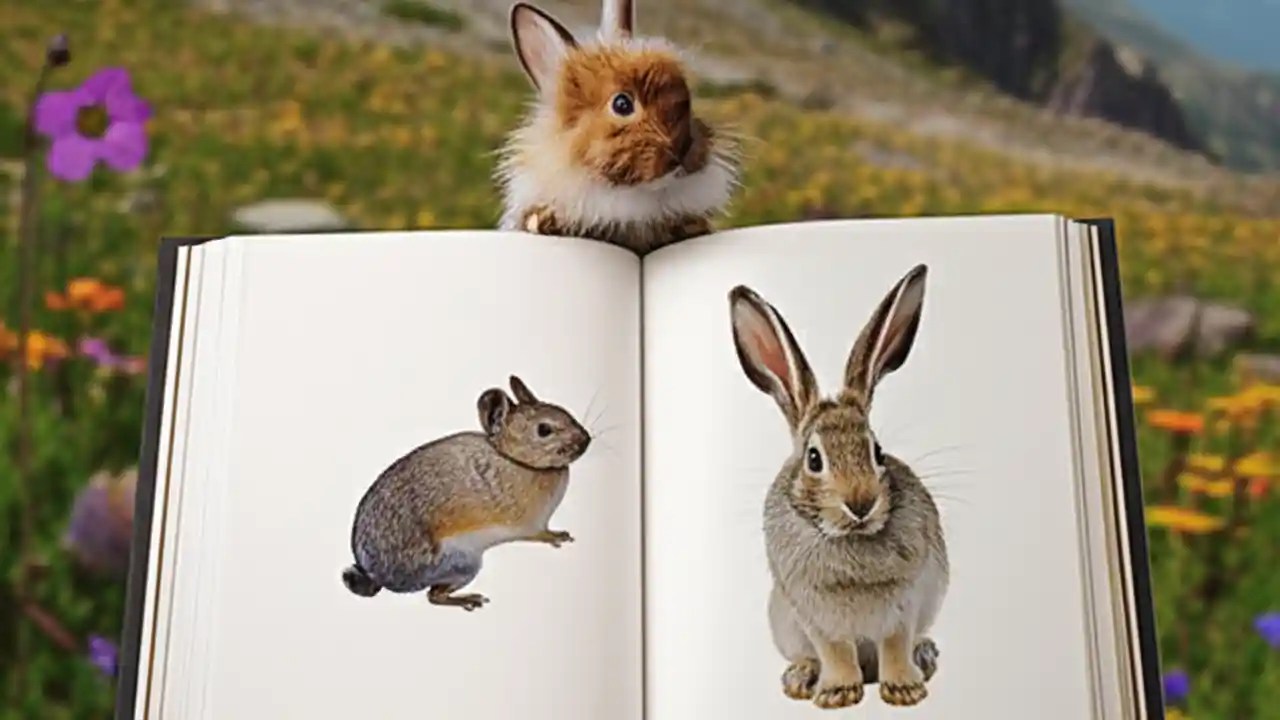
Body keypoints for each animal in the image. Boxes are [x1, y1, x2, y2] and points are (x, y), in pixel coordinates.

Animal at [341, 375, 592, 611]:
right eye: (544, 430)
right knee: (434, 596)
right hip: (463, 563)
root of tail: (376, 575)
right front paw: (558, 536)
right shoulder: (531, 525)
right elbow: (541, 534)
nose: (586, 440)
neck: (516, 459)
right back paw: (471, 600)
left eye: (564, 411)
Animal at [728, 264, 950, 709]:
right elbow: (835, 650)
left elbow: (895, 644)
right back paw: (802, 678)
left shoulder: (904, 603)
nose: (861, 503)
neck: (852, 537)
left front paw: (904, 691)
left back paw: (924, 658)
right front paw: (837, 694)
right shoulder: (814, 613)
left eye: (877, 452)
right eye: (814, 459)